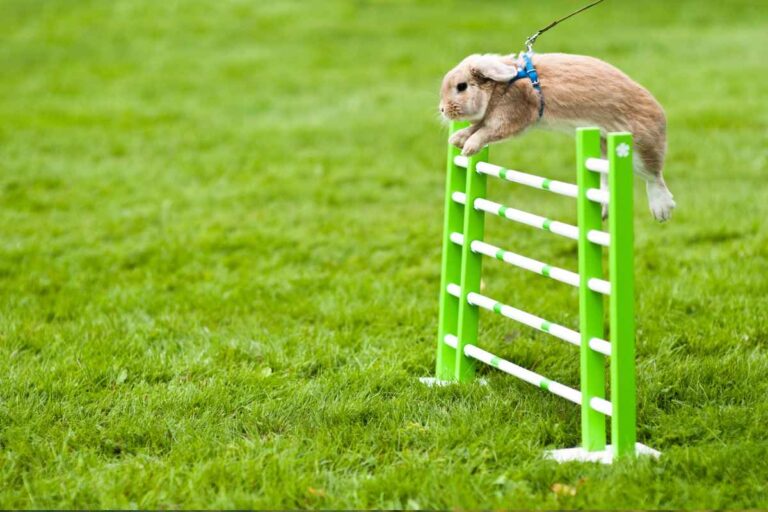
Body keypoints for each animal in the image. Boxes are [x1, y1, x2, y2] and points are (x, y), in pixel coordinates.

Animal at [439, 52, 676, 222]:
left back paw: (662, 210)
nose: (442, 109)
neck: (503, 84)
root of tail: (660, 113)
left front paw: (469, 147)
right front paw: (457, 139)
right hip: (603, 152)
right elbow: (475, 127)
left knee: (654, 177)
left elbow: (484, 132)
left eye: (461, 87)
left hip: (638, 150)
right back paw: (603, 210)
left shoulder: (510, 116)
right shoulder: (490, 118)